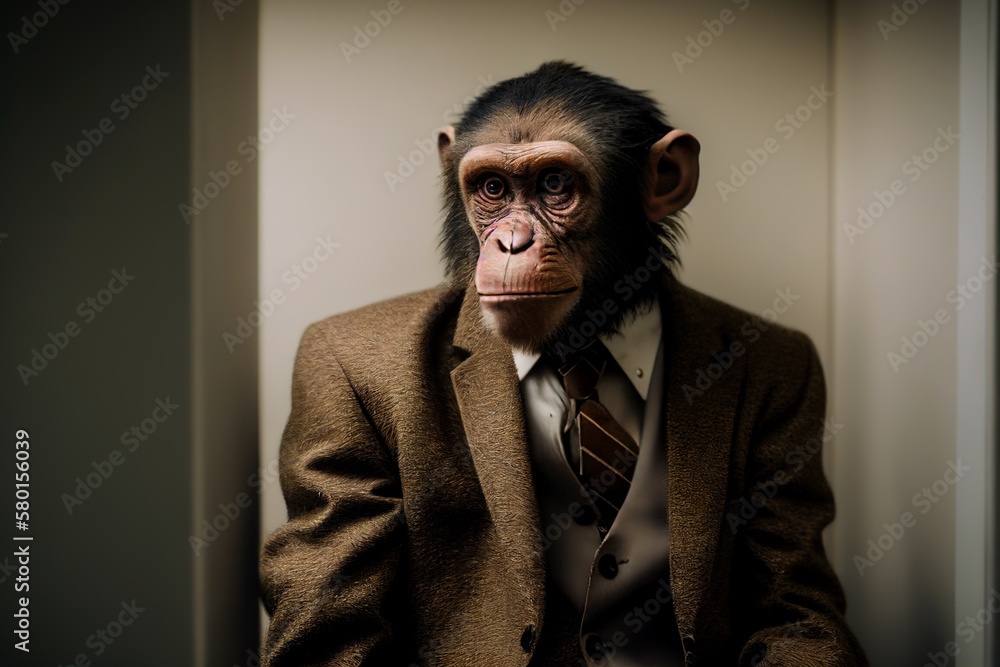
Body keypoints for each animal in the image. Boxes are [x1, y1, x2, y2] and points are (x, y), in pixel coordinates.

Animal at [260, 61, 867, 667]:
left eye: (554, 185)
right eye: (493, 188)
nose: (511, 243)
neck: (579, 344)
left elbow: (795, 602)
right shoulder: (329, 394)